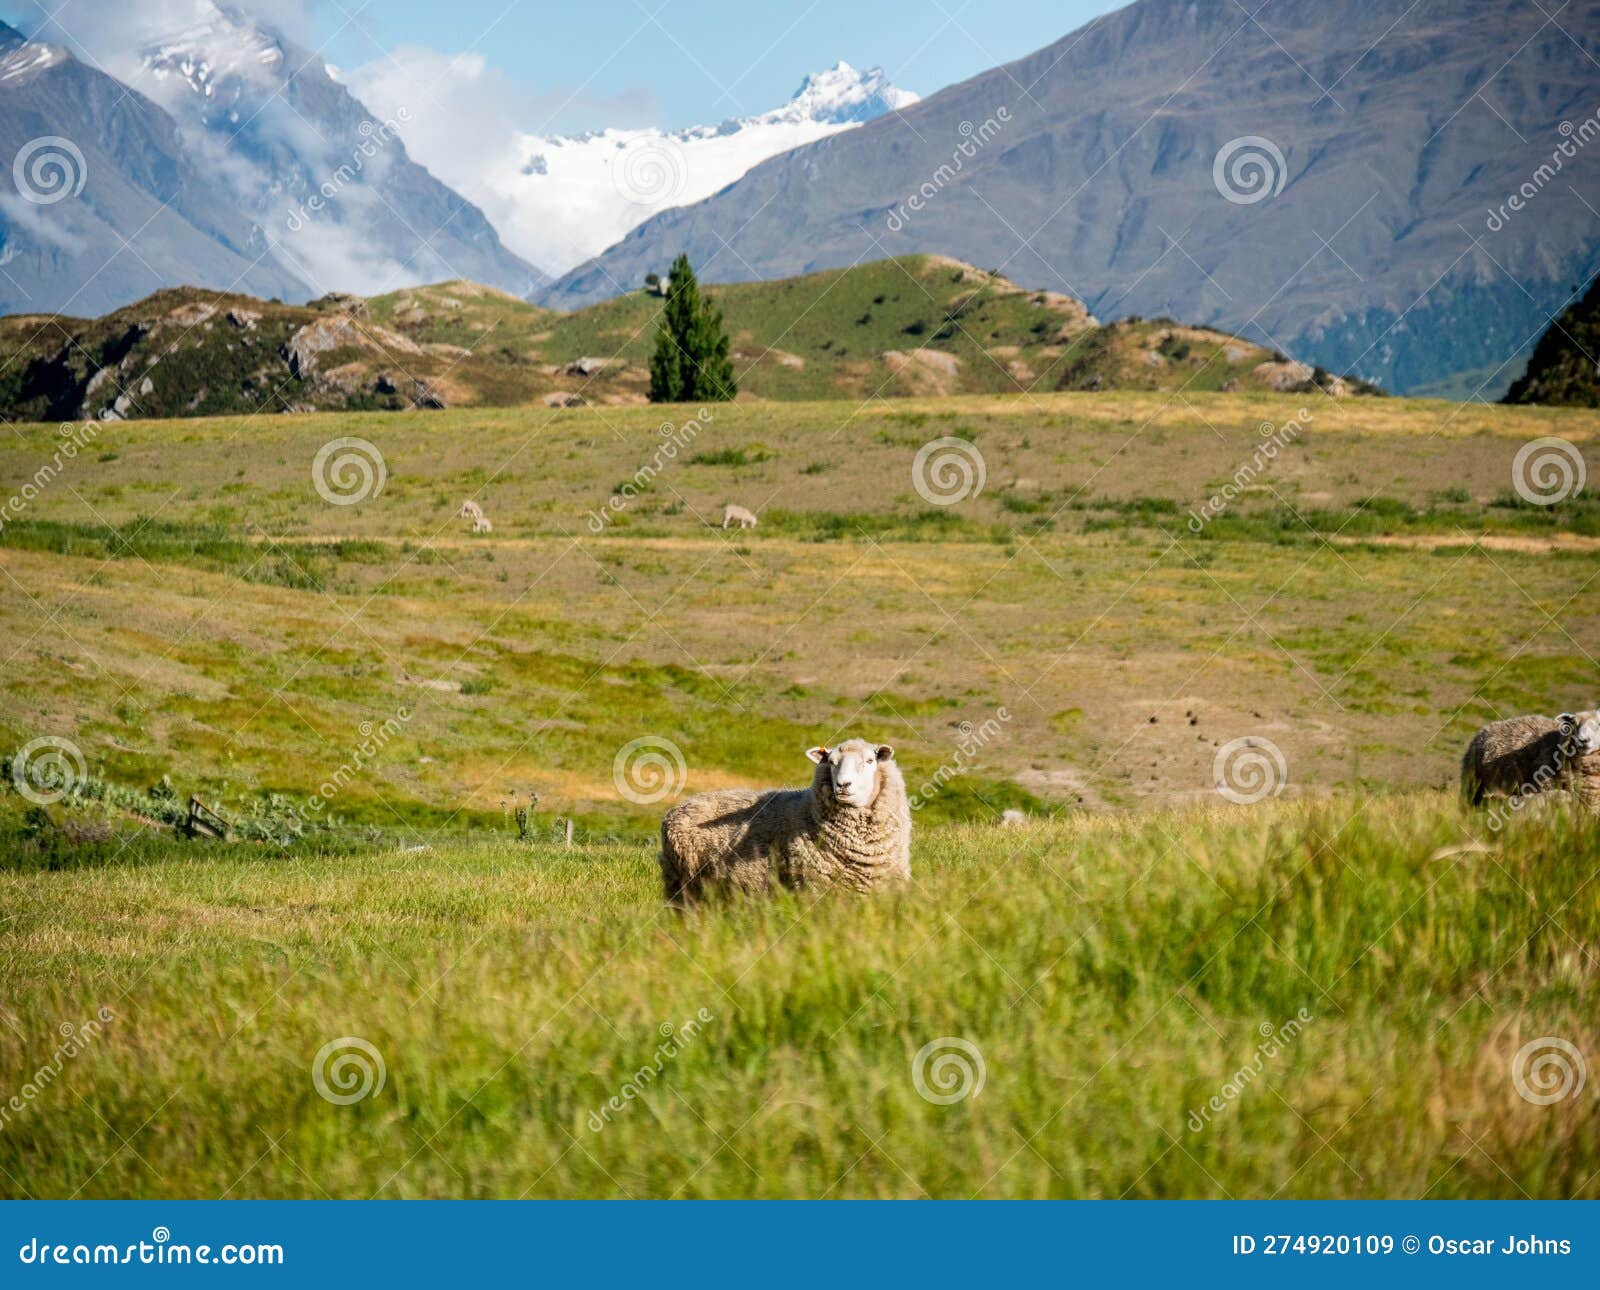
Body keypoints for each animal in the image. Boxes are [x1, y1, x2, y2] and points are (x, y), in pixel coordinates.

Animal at [1461, 709, 1600, 812]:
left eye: (1598, 724)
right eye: (1574, 724)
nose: (1582, 740)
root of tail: (1484, 729)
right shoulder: (1545, 790)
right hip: (1471, 783)